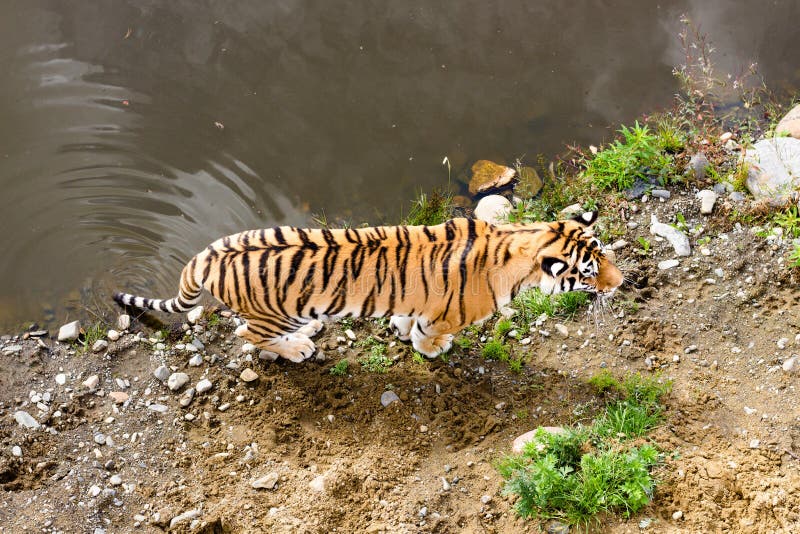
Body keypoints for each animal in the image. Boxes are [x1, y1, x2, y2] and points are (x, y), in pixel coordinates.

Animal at [113, 211, 622, 362]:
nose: (621, 283)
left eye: (603, 251)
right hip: (274, 312)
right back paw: (298, 348)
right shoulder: (448, 313)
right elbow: (430, 334)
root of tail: (206, 254)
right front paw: (432, 349)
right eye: (588, 270)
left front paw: (403, 332)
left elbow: (408, 317)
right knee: (247, 334)